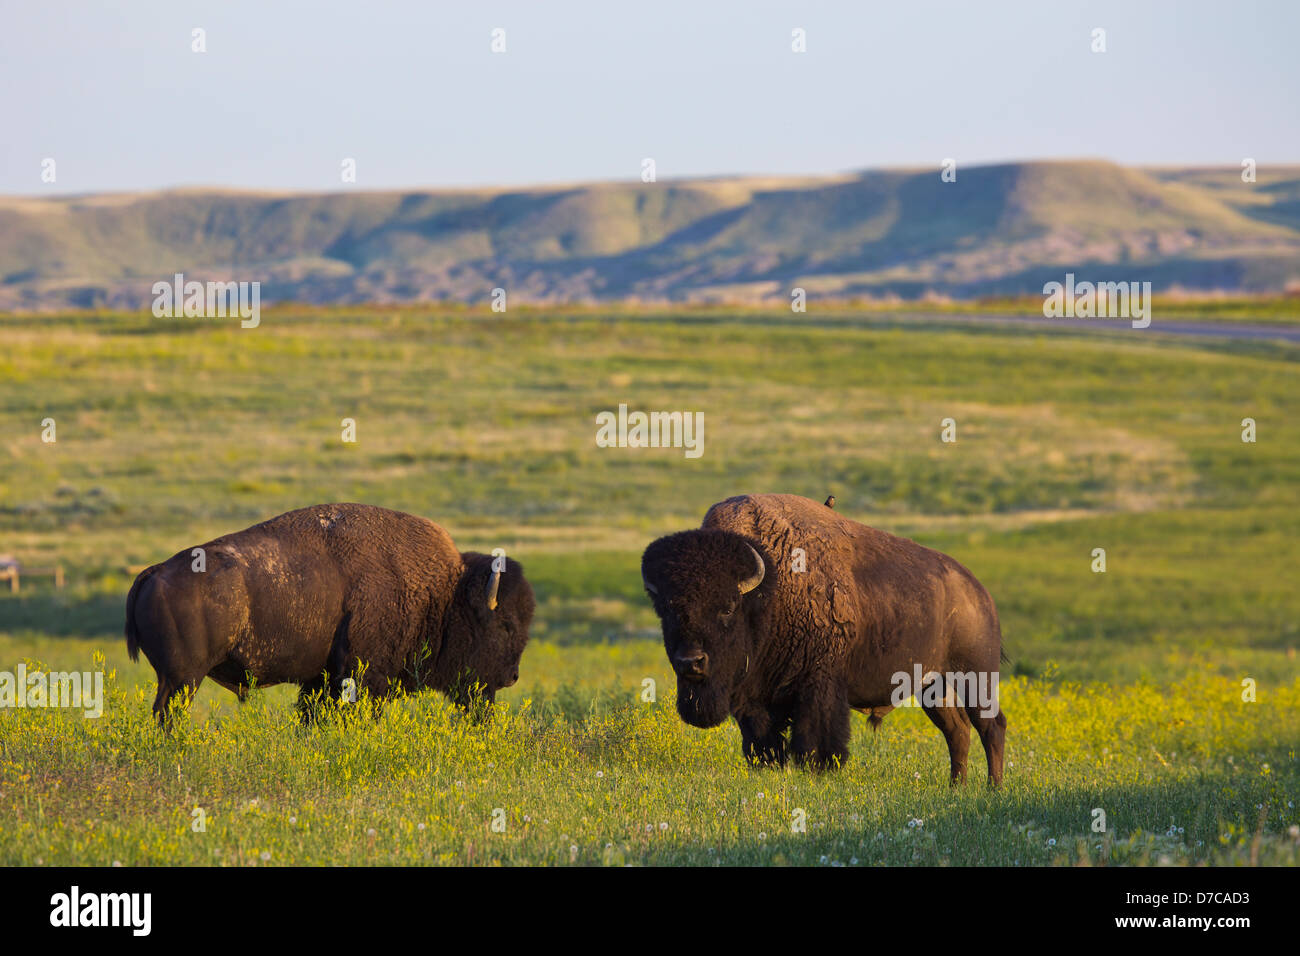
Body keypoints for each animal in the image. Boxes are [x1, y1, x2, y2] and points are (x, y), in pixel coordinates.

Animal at [125, 503, 533, 724]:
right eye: (504, 624)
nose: (513, 676)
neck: (443, 592)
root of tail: (155, 572)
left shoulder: (319, 681)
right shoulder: (365, 679)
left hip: (176, 679)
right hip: (183, 678)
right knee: (168, 714)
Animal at [641, 493, 1007, 782]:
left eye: (728, 607)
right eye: (667, 610)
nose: (691, 662)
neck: (770, 590)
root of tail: (980, 594)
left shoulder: (819, 685)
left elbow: (817, 736)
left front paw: (820, 769)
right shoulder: (752, 697)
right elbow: (763, 739)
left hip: (975, 677)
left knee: (991, 726)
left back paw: (993, 788)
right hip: (933, 686)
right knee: (957, 731)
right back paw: (957, 787)